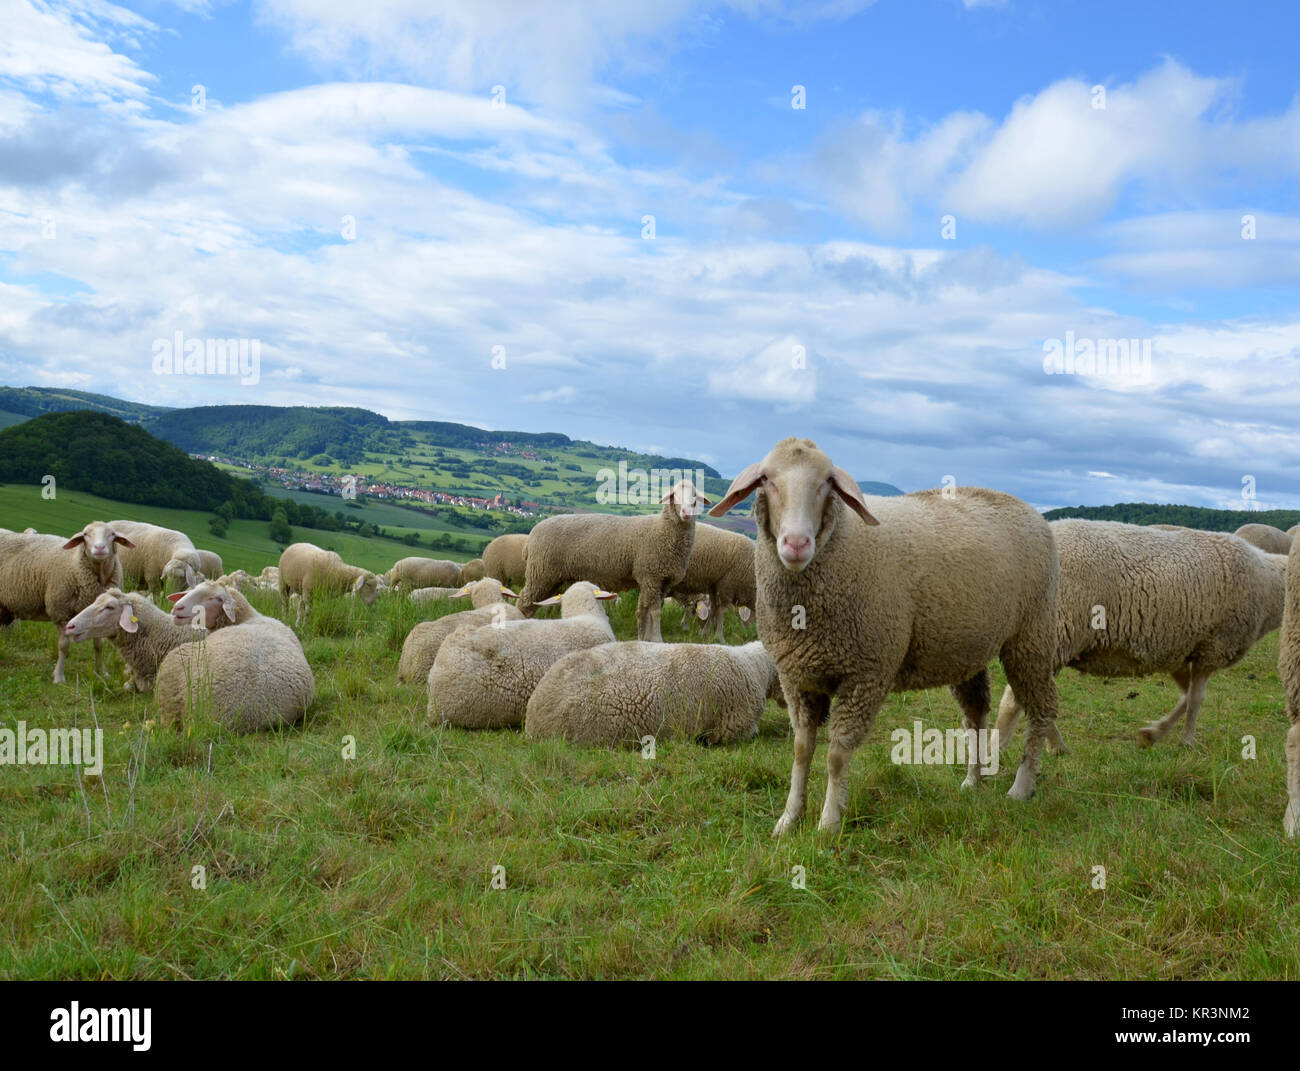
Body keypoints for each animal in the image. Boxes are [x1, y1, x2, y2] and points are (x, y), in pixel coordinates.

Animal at [0, 522, 134, 684]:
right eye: (85, 534)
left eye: (112, 534)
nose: (100, 548)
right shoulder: (61, 612)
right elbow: (64, 646)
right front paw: (58, 677)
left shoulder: (98, 616)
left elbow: (99, 645)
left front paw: (101, 673)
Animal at [517, 480, 711, 641]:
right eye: (674, 495)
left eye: (695, 495)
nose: (686, 512)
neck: (663, 530)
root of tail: (530, 538)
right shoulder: (651, 577)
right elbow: (655, 612)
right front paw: (657, 640)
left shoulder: (660, 581)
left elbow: (645, 611)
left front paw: (645, 638)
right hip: (541, 573)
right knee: (524, 602)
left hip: (551, 577)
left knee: (533, 604)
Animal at [710, 438, 1061, 835]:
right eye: (766, 479)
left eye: (827, 482)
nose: (796, 543)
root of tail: (1032, 511)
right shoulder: (798, 677)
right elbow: (801, 751)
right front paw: (789, 818)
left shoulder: (864, 674)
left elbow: (836, 755)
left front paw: (828, 822)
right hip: (967, 649)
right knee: (976, 714)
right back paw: (973, 780)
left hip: (1031, 634)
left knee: (1042, 708)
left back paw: (1022, 786)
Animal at [996, 520, 1287, 753]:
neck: (1270, 586)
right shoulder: (1213, 647)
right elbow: (1196, 700)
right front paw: (1187, 741)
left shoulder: (1180, 652)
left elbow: (1185, 697)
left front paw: (1152, 734)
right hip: (1055, 631)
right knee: (1014, 700)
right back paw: (999, 750)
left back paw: (1056, 747)